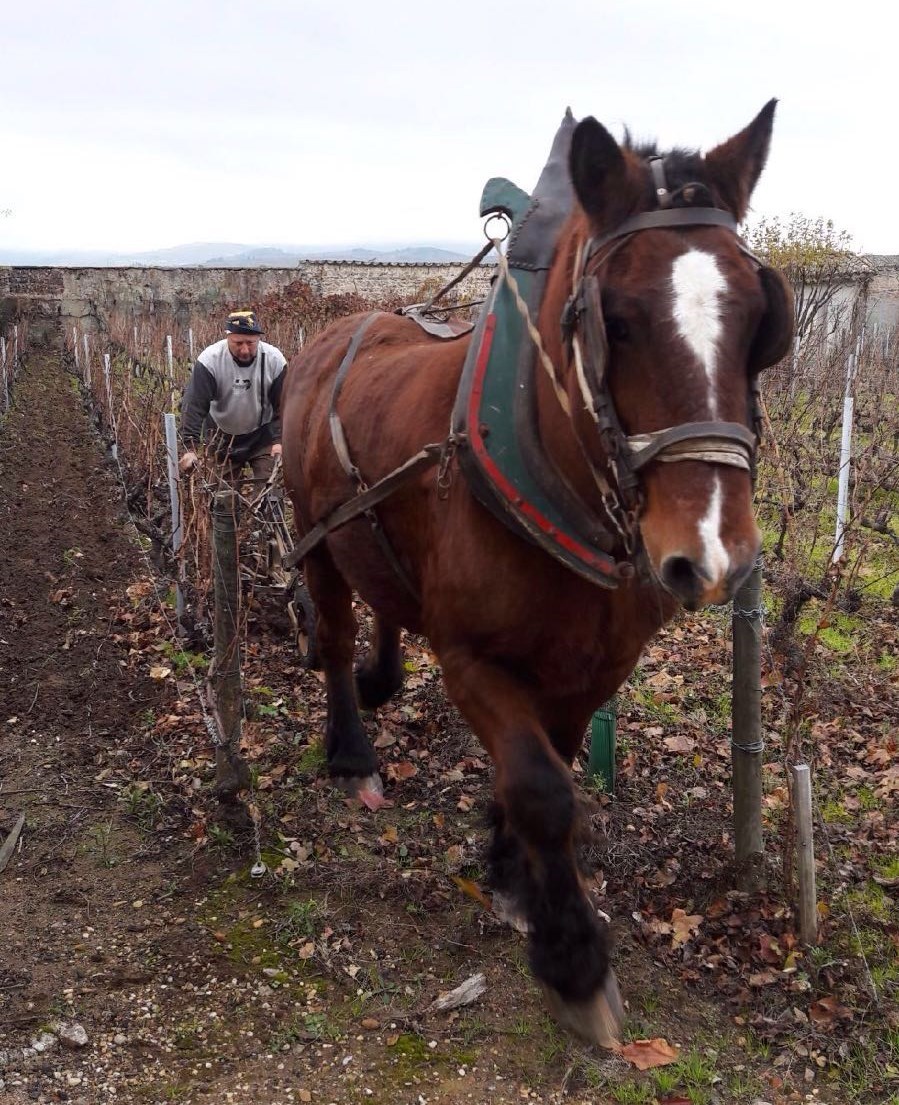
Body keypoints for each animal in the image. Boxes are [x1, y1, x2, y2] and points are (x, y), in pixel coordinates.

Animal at [281, 100, 794, 1046]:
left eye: (759, 321)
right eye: (615, 320)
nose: (711, 556)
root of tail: (345, 325)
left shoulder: (596, 664)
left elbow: (548, 761)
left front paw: (507, 865)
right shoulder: (472, 659)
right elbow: (543, 788)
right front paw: (572, 959)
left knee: (384, 602)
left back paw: (382, 674)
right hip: (313, 531)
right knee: (331, 631)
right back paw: (351, 747)